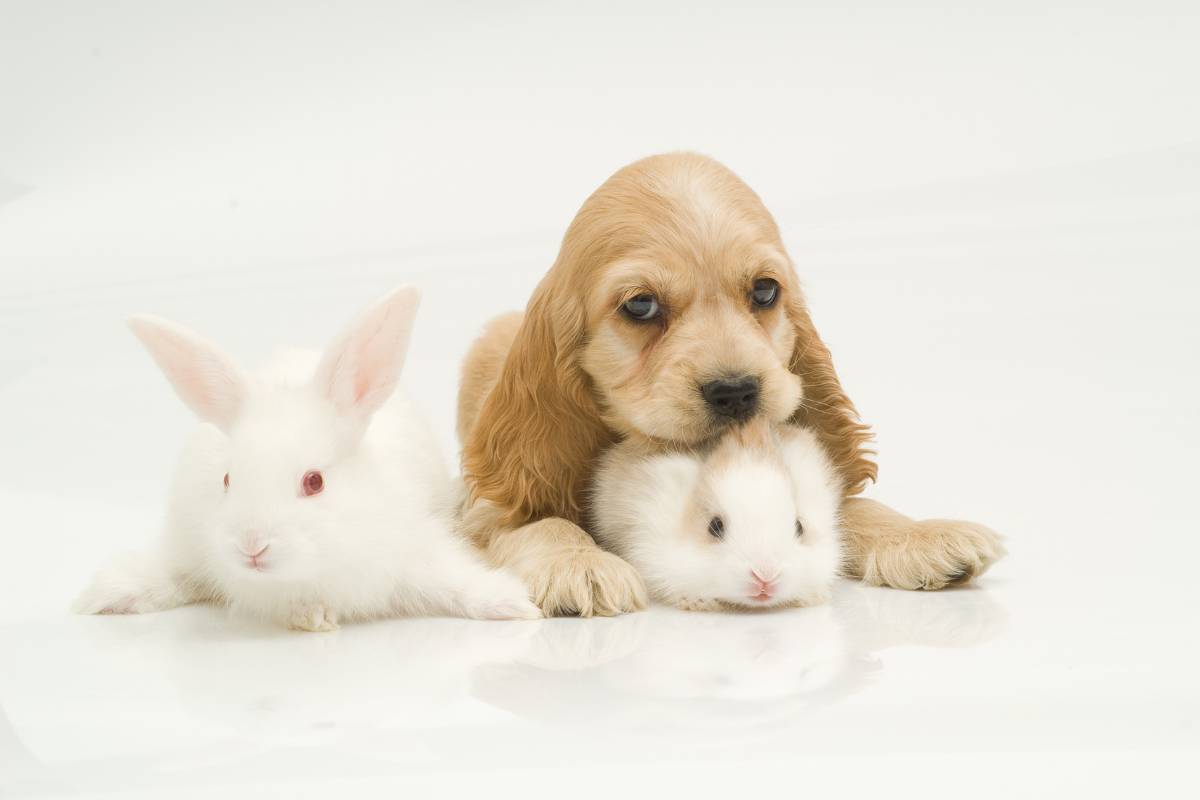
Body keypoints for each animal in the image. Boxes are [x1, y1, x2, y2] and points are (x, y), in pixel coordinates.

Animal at [73, 286, 541, 630]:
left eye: (314, 481)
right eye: (227, 480)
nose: (251, 546)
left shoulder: (416, 551)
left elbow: (455, 580)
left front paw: (515, 606)